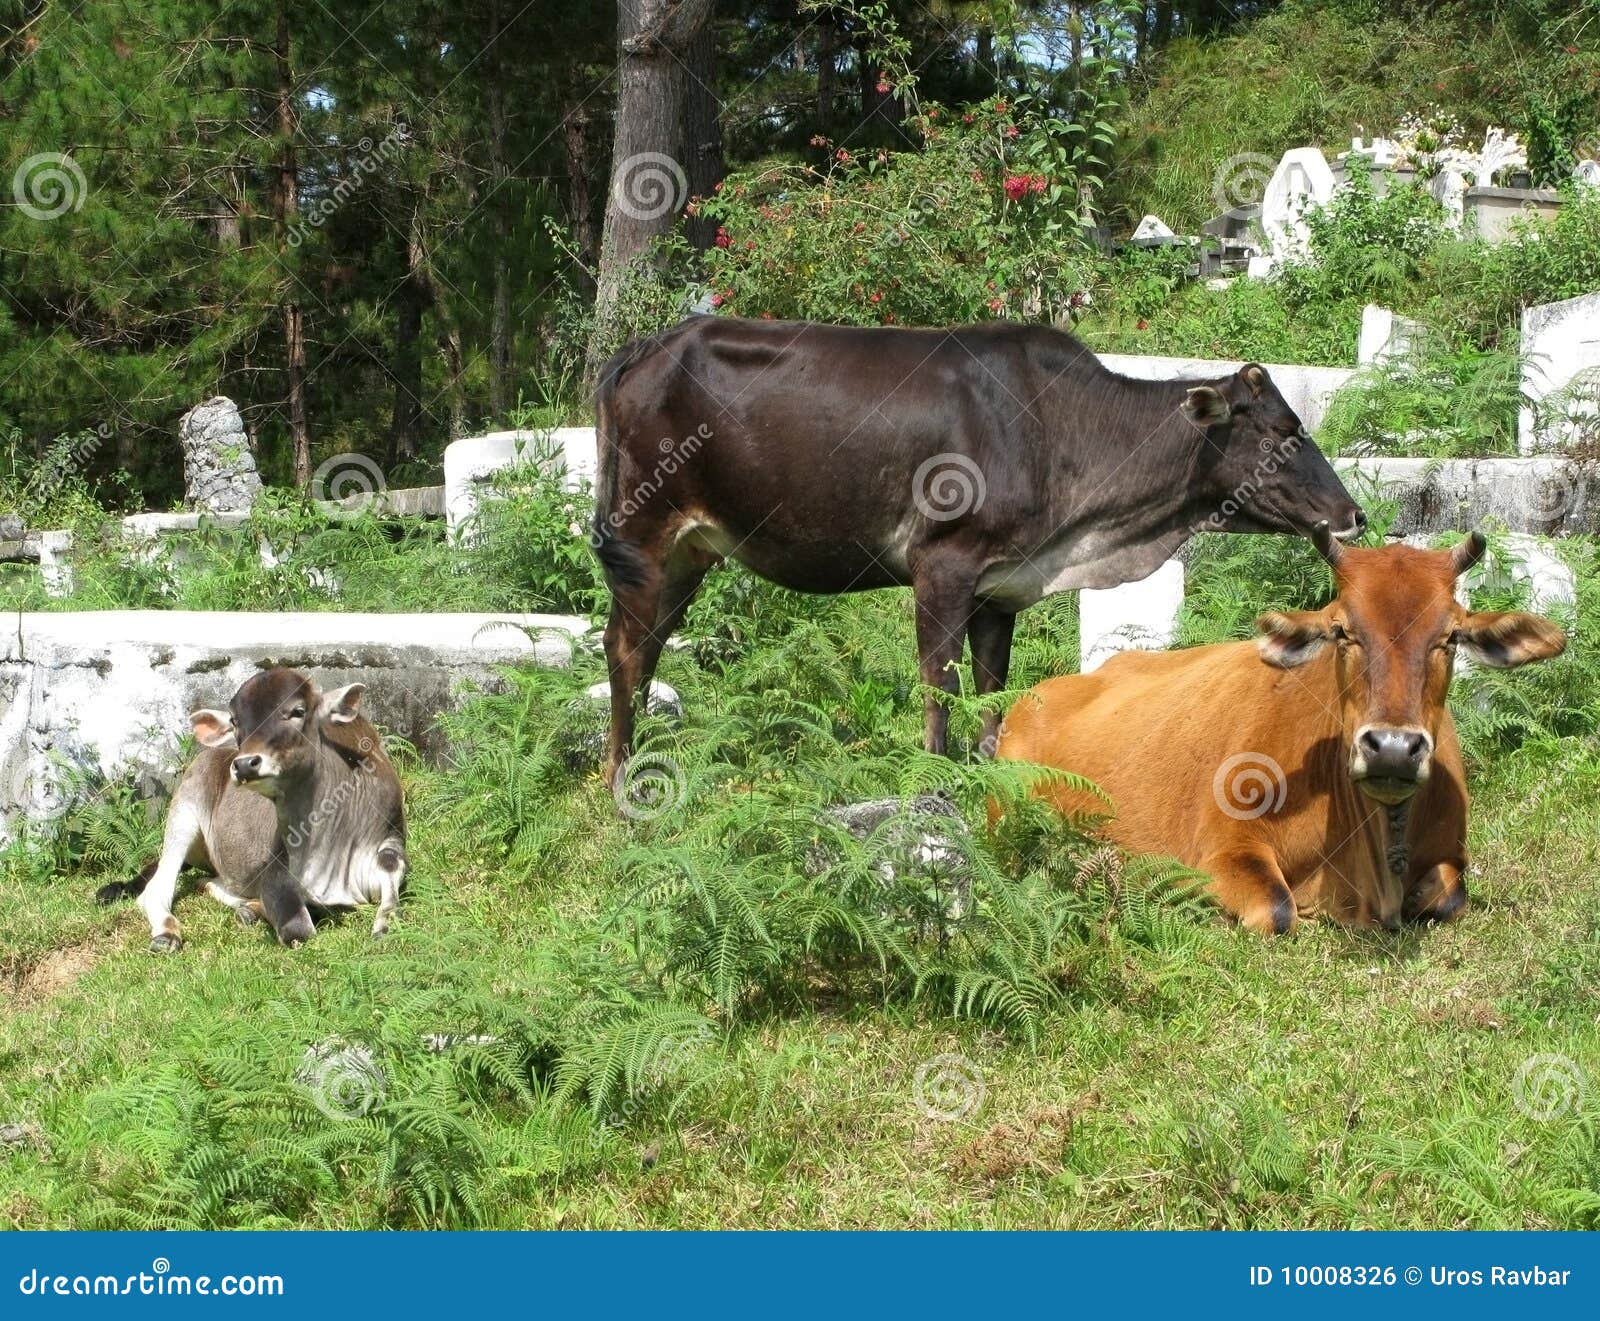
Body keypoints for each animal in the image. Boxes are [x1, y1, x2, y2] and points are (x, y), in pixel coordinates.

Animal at [95, 669, 407, 951]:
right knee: (156, 887)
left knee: (207, 882)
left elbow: (390, 866)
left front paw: (384, 926)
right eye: (235, 721)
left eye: (297, 710)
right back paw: (167, 933)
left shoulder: (390, 839)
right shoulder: (275, 870)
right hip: (183, 812)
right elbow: (298, 931)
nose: (245, 764)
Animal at [590, 315, 1364, 788]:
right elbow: (941, 683)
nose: (1352, 515)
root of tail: (645, 348)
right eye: (1279, 433)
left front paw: (994, 769)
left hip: (690, 552)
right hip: (644, 530)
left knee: (649, 646)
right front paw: (934, 782)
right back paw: (620, 775)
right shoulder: (942, 564)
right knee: (623, 646)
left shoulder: (1002, 586)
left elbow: (994, 687)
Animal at [994, 526, 1567, 933]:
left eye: (1449, 637)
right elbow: (1276, 910)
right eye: (1342, 631)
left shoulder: (1449, 858)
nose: (1392, 748)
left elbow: (1450, 897)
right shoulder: (1228, 849)